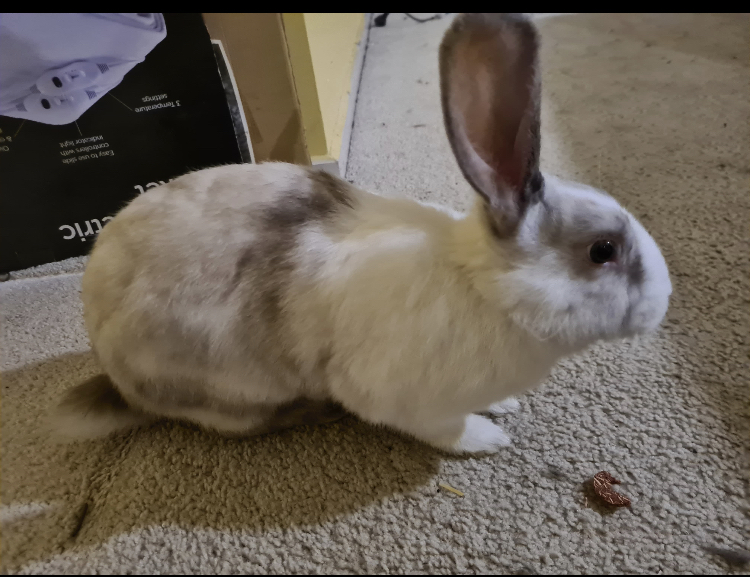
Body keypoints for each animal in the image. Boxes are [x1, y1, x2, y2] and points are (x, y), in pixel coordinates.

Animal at [51, 13, 671, 453]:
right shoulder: (409, 400)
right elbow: (443, 430)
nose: (663, 303)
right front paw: (488, 438)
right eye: (602, 251)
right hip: (227, 390)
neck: (487, 289)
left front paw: (507, 407)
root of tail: (113, 374)